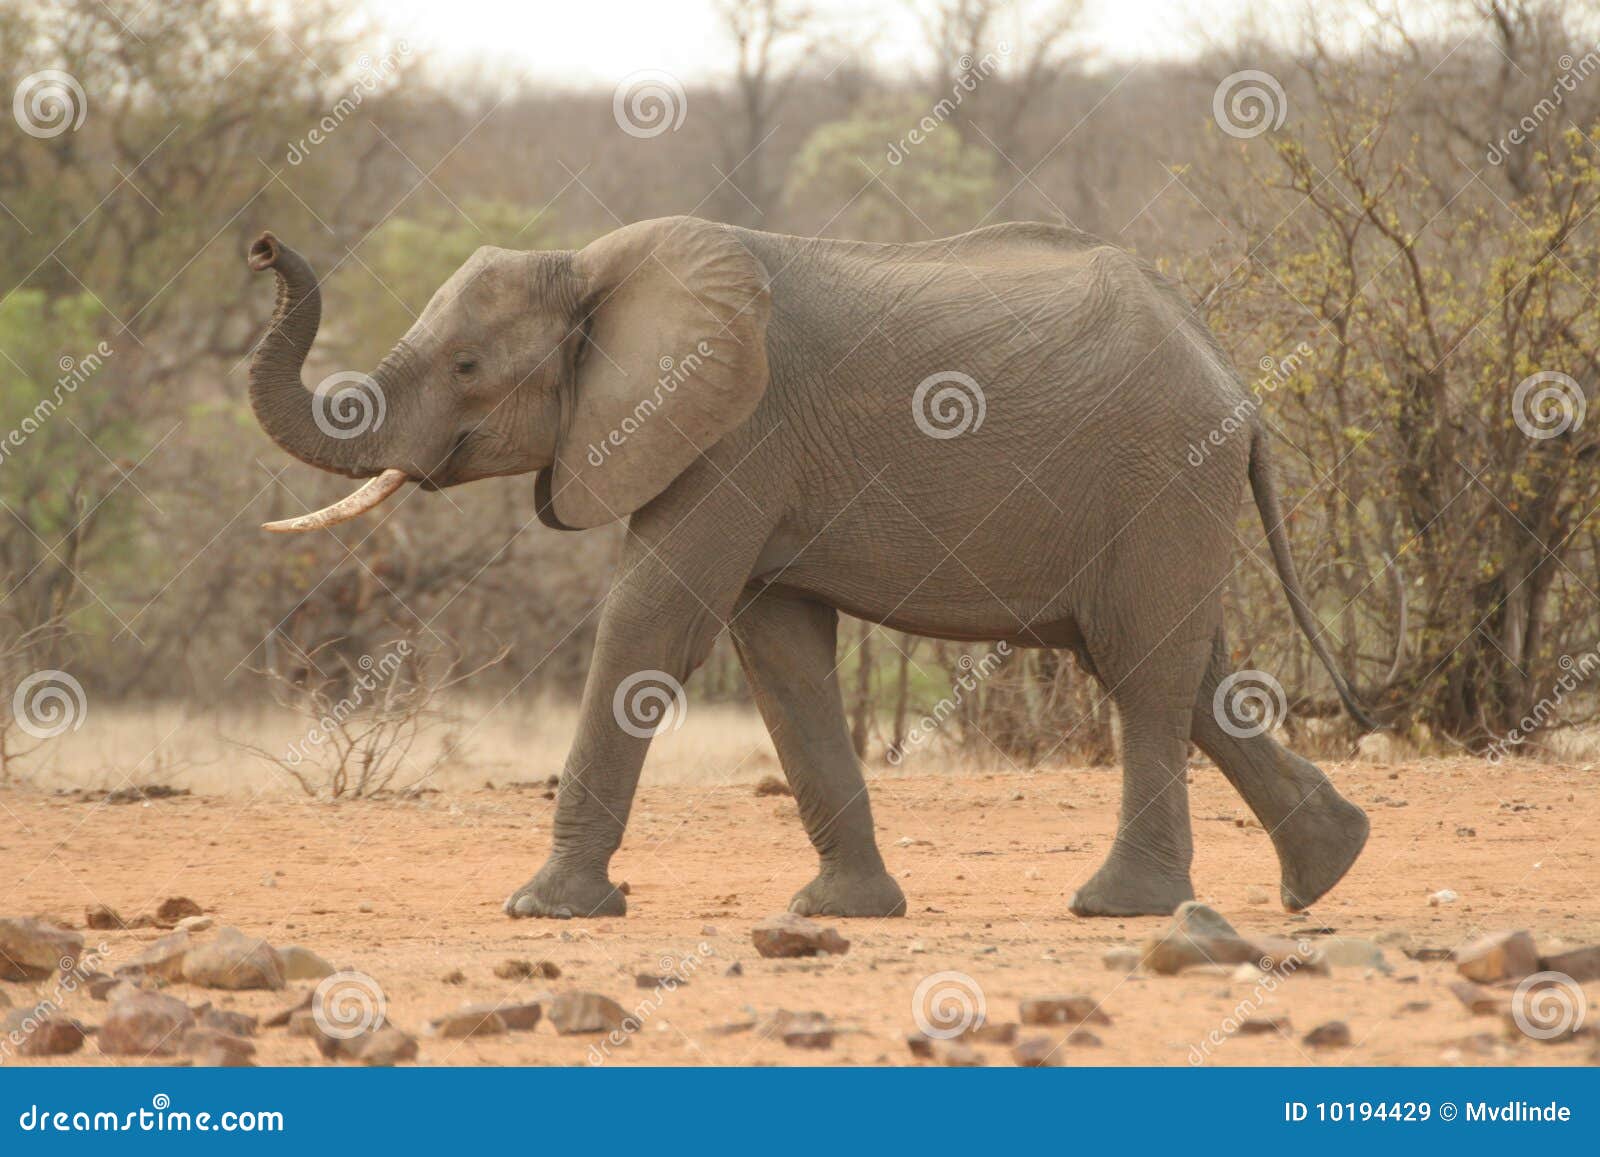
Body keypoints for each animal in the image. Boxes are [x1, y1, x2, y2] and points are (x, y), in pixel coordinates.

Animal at [243, 215, 1375, 920]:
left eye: (468, 366)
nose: (260, 246)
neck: (587, 264)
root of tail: (1233, 376)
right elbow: (779, 654)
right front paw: (843, 911)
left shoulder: (731, 432)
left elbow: (653, 622)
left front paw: (543, 907)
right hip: (1165, 493)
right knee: (1184, 670)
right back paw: (1329, 868)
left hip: (1161, 470)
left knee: (1143, 672)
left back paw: (1120, 906)